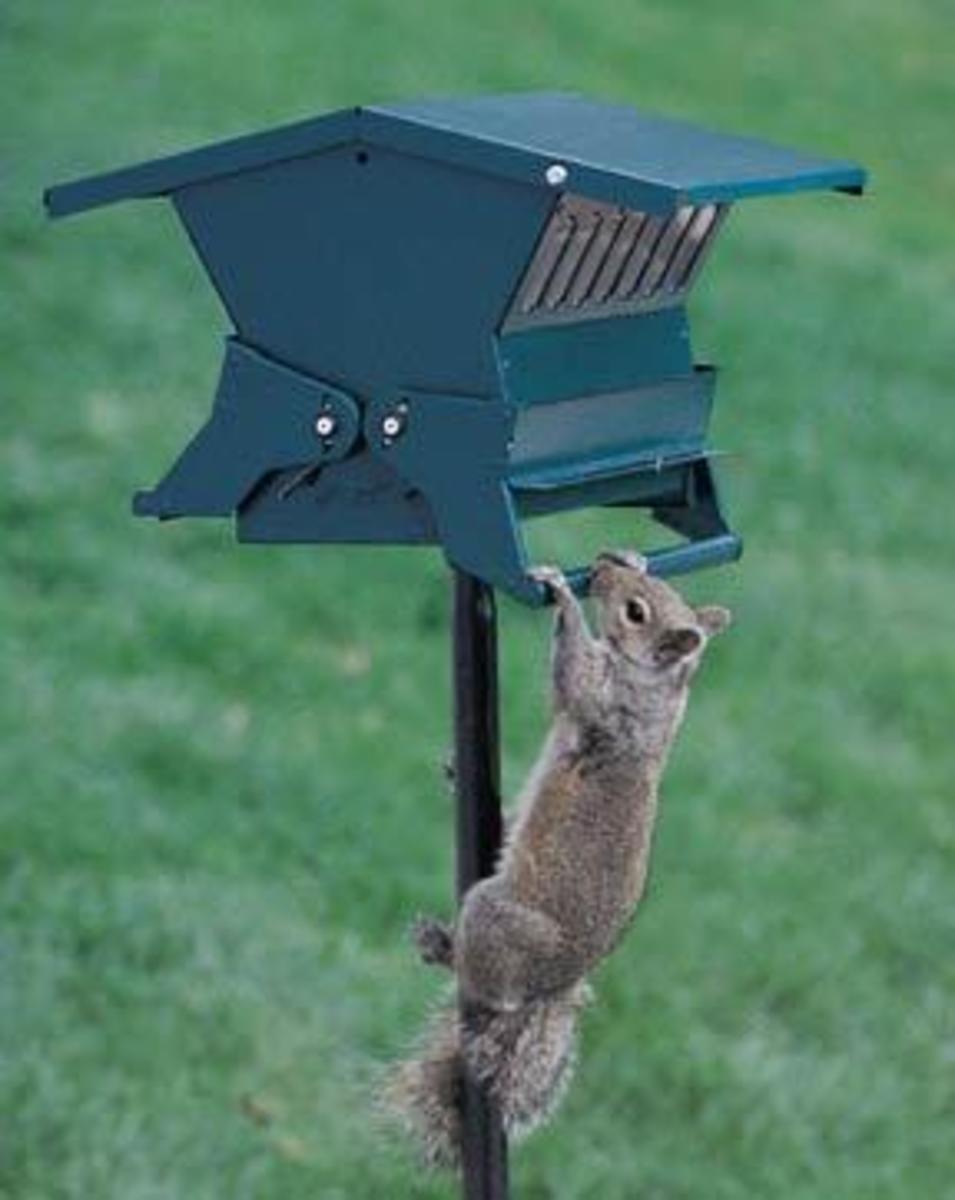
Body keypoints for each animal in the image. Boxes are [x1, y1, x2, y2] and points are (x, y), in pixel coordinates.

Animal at [382, 551, 731, 1168]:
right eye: (638, 584)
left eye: (635, 611)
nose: (606, 562)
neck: (657, 686)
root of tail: (553, 987)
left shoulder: (604, 700)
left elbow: (570, 672)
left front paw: (561, 595)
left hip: (496, 919)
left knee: (486, 989)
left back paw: (442, 947)